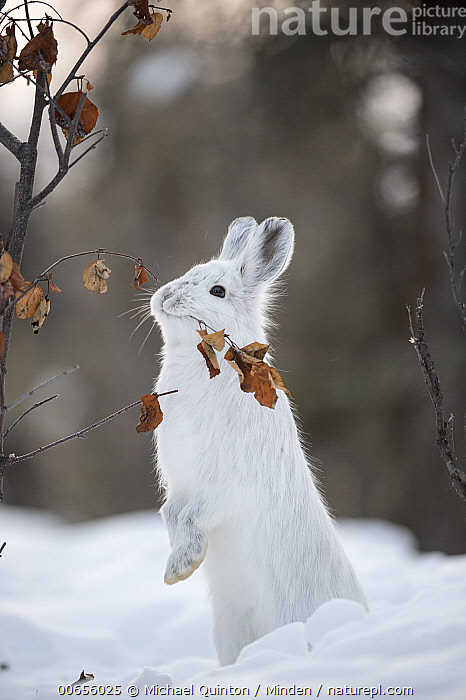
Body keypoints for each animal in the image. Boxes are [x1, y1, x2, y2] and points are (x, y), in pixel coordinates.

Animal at [150, 216, 367, 666]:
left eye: (217, 291)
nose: (165, 296)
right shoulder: (180, 482)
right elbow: (170, 513)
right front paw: (178, 565)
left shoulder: (227, 482)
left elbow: (192, 516)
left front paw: (181, 568)